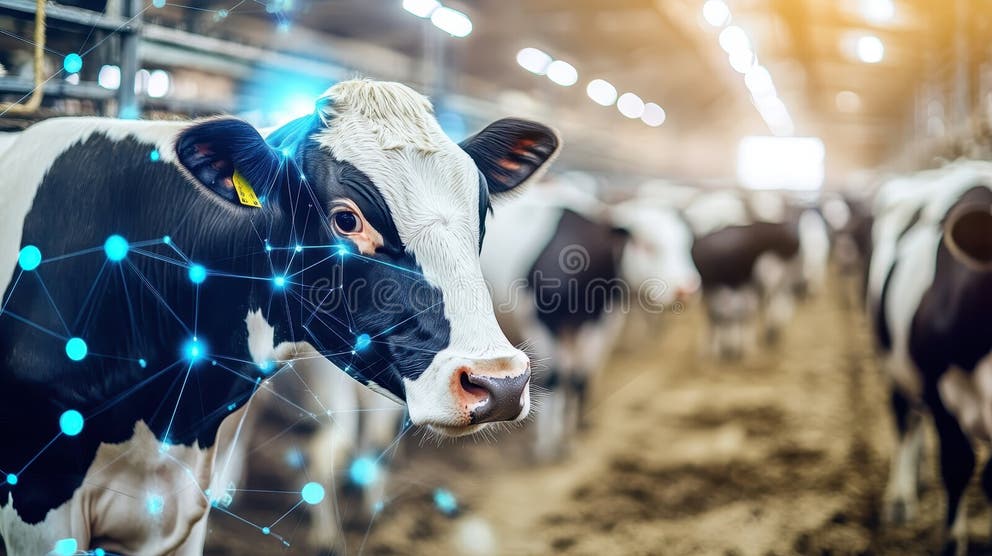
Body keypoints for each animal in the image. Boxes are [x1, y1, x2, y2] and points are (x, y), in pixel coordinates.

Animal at [482, 183, 699, 461]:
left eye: (688, 244)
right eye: (647, 246)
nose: (687, 289)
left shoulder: (603, 324)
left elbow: (580, 377)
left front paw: (574, 428)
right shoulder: (543, 324)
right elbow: (557, 379)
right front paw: (550, 441)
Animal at [870, 160, 992, 556]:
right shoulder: (939, 388)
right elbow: (957, 465)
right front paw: (953, 543)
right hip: (893, 361)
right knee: (903, 415)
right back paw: (900, 498)